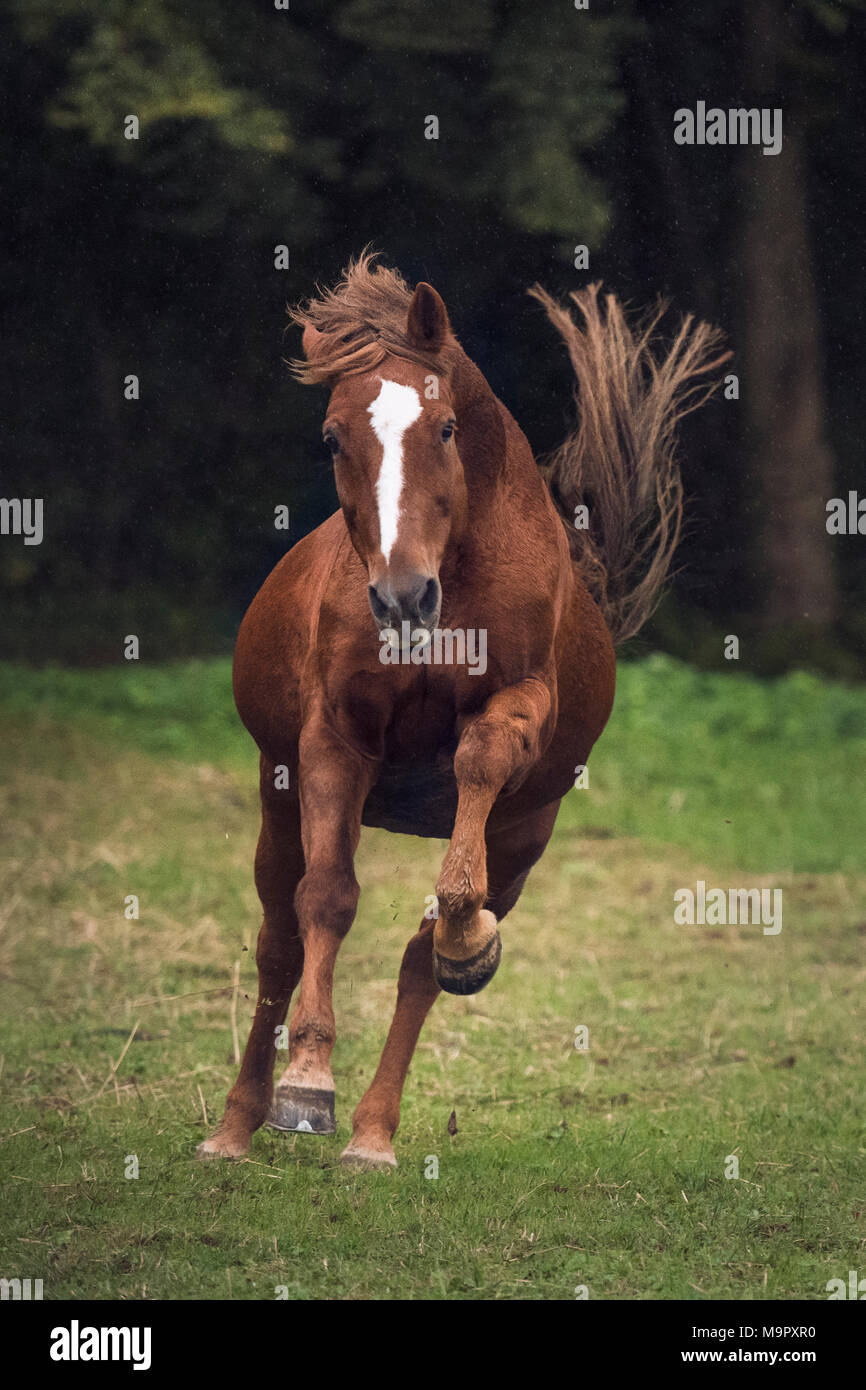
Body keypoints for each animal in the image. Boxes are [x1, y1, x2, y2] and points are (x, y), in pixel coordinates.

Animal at [198, 252, 726, 1169]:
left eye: (444, 429)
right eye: (333, 437)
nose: (404, 597)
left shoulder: (521, 710)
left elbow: (476, 770)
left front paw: (467, 940)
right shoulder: (333, 736)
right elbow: (327, 898)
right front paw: (307, 1081)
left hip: (524, 837)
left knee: (420, 963)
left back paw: (375, 1132)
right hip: (276, 794)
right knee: (278, 944)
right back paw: (237, 1127)